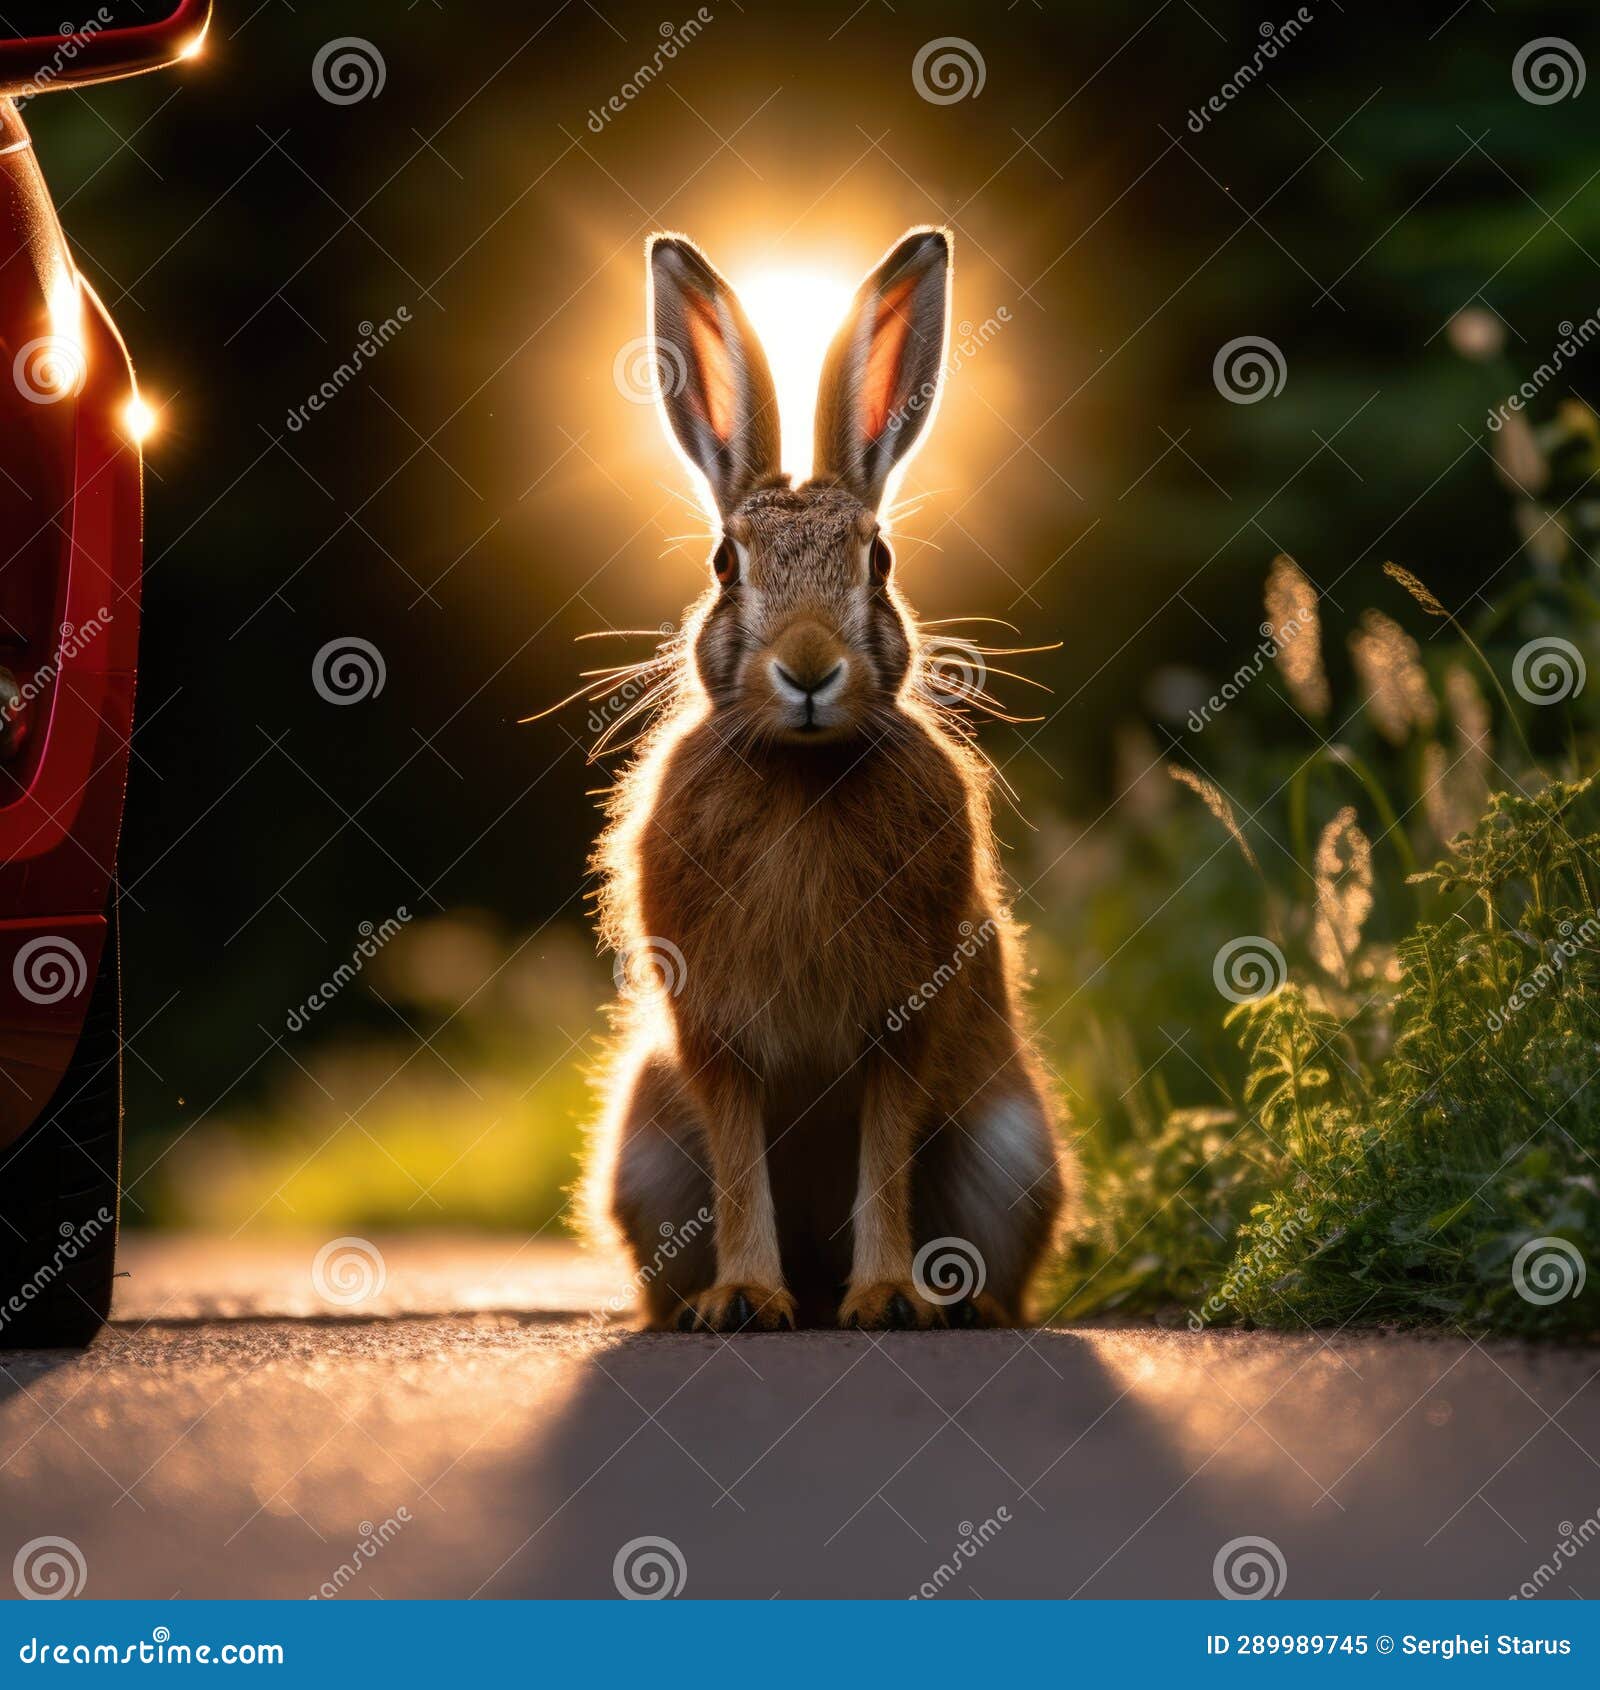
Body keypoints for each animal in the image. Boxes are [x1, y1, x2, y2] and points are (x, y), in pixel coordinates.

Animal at [585, 226, 1065, 1332]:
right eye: (725, 564)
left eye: (878, 560)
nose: (807, 668)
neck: (800, 773)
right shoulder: (713, 1028)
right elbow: (737, 1162)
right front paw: (743, 1299)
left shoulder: (905, 1016)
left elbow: (882, 1157)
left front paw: (886, 1297)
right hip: (643, 1153)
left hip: (1010, 1153)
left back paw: (960, 1307)